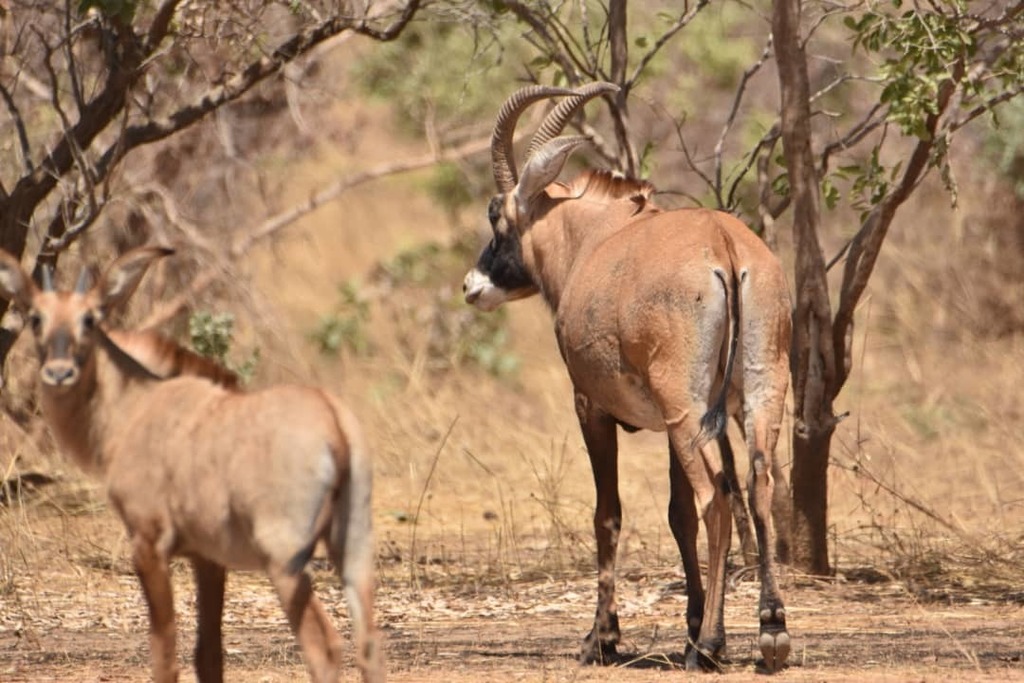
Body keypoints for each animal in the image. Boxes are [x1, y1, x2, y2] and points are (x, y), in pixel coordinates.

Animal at [0, 247, 382, 683]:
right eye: (36, 317)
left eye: (90, 318)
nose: (59, 373)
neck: (134, 405)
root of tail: (333, 422)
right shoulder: (208, 559)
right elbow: (208, 655)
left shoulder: (148, 544)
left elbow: (164, 654)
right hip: (354, 549)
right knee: (369, 644)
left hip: (284, 559)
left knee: (324, 647)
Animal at [463, 82, 793, 672]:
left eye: (499, 218)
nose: (472, 286)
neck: (593, 238)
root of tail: (724, 248)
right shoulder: (673, 423)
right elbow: (677, 514)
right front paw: (693, 624)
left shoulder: (592, 408)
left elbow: (609, 514)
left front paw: (602, 638)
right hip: (757, 392)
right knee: (758, 484)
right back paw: (771, 631)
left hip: (686, 409)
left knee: (717, 497)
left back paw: (707, 648)